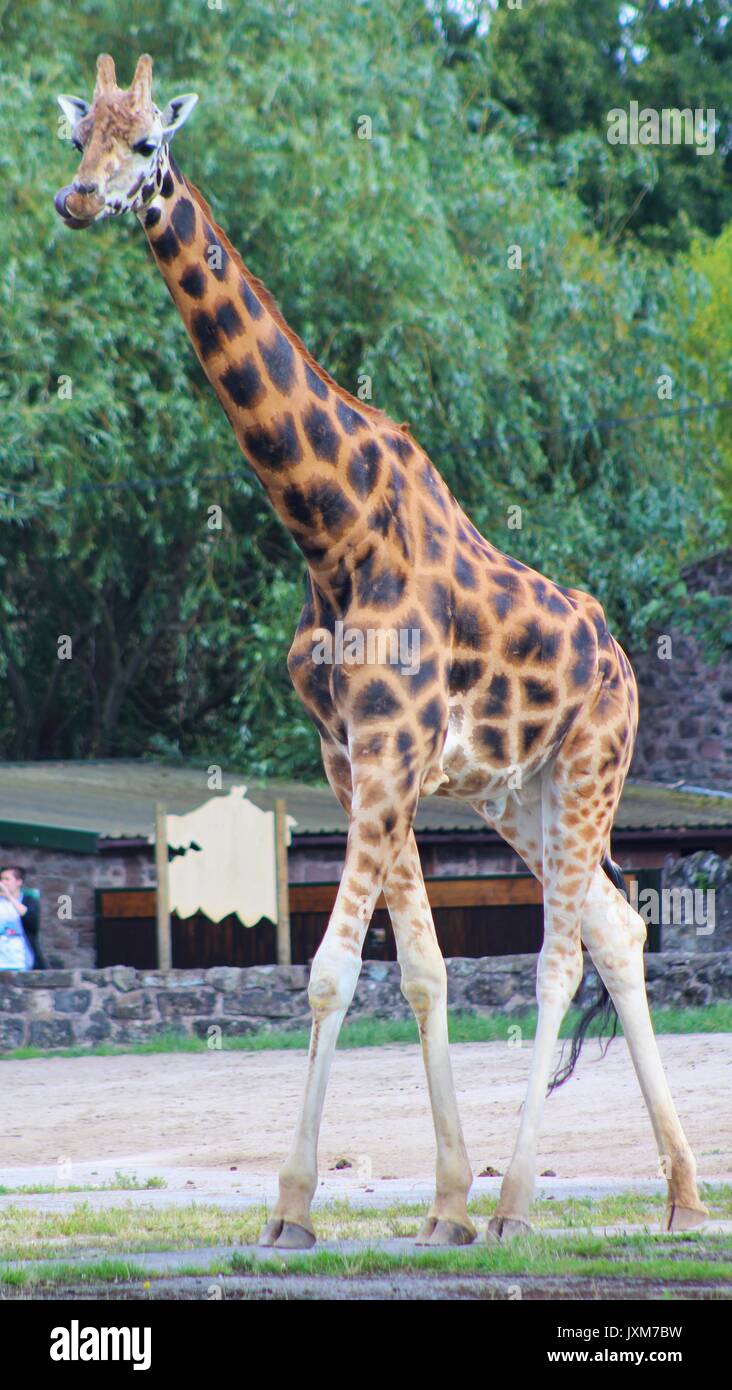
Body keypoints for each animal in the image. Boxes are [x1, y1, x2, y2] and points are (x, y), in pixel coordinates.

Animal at [54, 55, 709, 1248]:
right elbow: (421, 971)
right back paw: (680, 1194)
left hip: (593, 766)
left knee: (558, 956)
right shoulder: (354, 757)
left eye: (145, 146)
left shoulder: (392, 750)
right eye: (82, 140)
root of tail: (625, 661)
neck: (330, 526)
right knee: (616, 929)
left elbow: (327, 974)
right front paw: (440, 1205)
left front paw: (294, 1210)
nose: (79, 201)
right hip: (522, 794)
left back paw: (520, 1206)